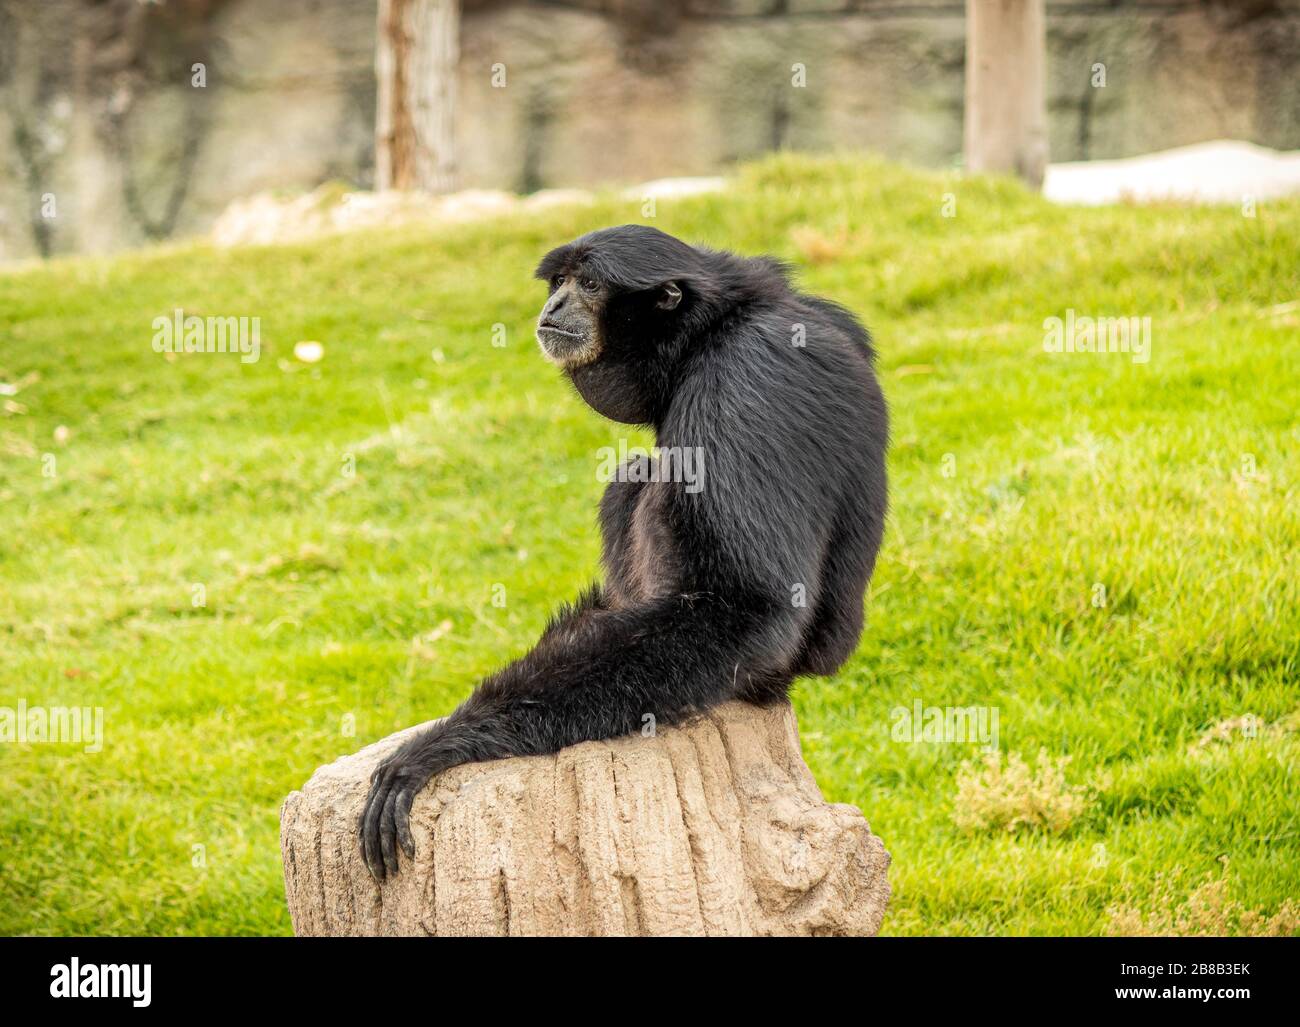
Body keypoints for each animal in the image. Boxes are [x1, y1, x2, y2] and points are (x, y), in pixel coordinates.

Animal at [360, 224, 888, 880]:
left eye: (589, 284)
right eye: (560, 282)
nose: (555, 305)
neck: (714, 327)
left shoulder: (747, 376)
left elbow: (742, 604)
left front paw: (442, 745)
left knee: (644, 473)